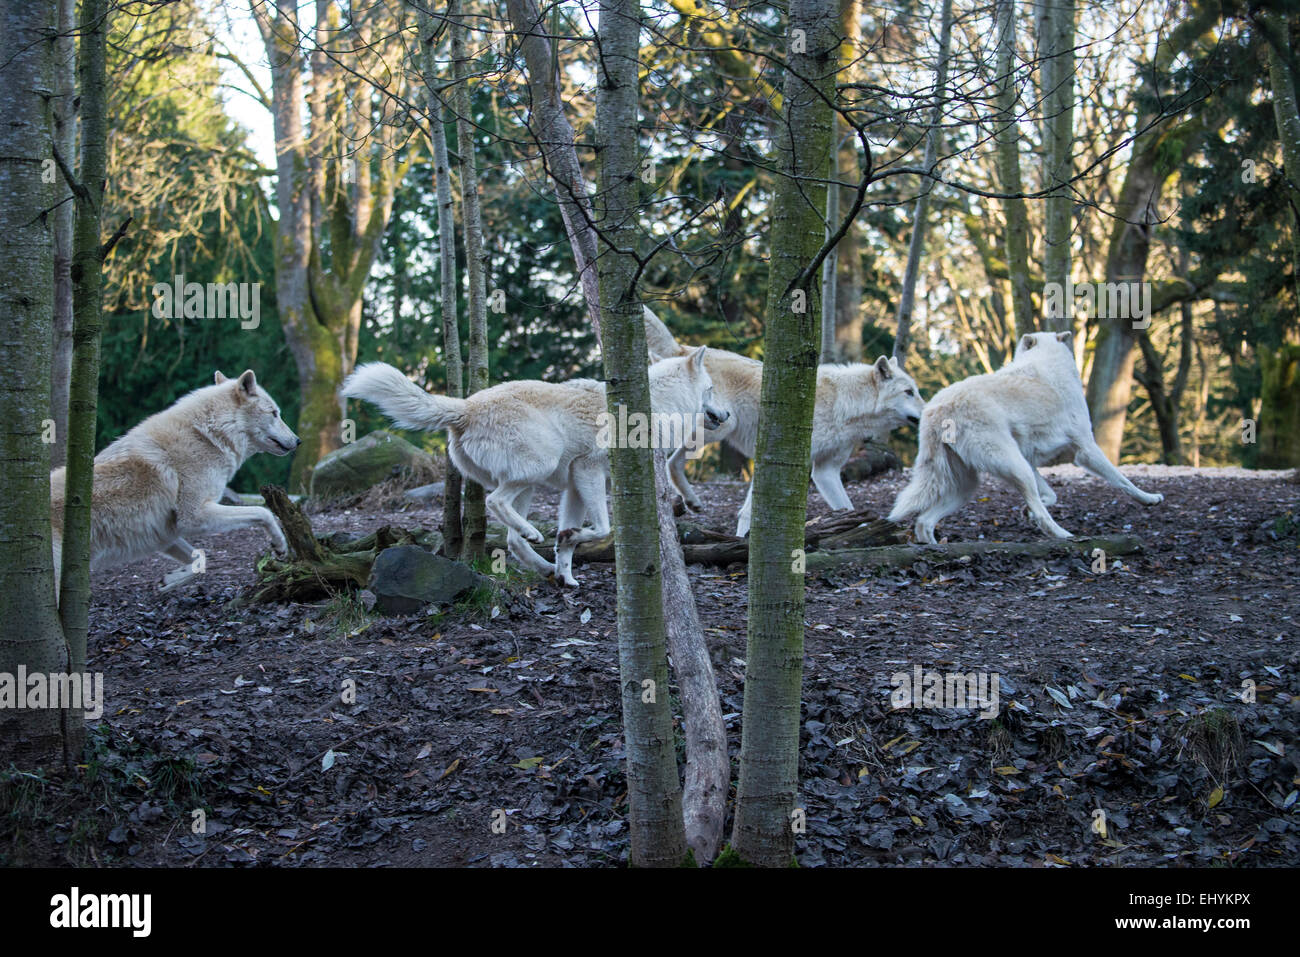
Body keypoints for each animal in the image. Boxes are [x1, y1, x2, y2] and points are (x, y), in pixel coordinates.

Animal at [50, 370, 299, 595]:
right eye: (275, 413)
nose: (298, 441)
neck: (210, 435)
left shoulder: (163, 534)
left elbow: (201, 559)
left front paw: (170, 581)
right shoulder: (194, 516)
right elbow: (263, 512)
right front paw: (280, 545)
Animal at [341, 347, 729, 587]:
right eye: (711, 388)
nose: (726, 414)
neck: (656, 406)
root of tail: (466, 407)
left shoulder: (575, 487)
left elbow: (574, 540)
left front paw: (567, 573)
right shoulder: (587, 471)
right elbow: (602, 529)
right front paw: (569, 544)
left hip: (529, 484)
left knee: (512, 539)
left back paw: (546, 568)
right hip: (539, 467)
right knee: (497, 505)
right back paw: (535, 537)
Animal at [643, 307, 925, 536]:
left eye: (916, 391)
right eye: (909, 392)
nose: (927, 412)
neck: (845, 403)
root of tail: (684, 351)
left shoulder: (826, 471)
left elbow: (847, 507)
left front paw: (862, 528)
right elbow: (748, 512)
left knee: (672, 463)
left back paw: (691, 502)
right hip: (716, 427)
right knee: (669, 459)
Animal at [888, 331, 1163, 543]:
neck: (1046, 359)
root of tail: (937, 409)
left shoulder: (1030, 460)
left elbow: (1050, 495)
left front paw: (1027, 511)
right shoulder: (1086, 449)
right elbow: (1122, 480)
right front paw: (1149, 498)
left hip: (971, 485)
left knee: (923, 522)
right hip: (1011, 468)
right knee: (1044, 518)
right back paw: (1064, 535)